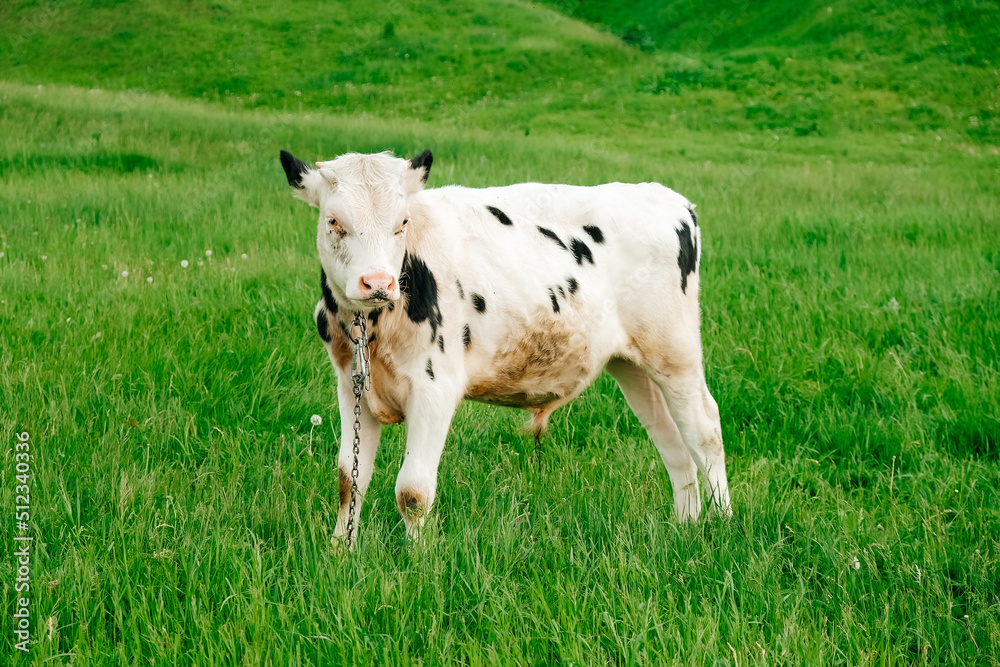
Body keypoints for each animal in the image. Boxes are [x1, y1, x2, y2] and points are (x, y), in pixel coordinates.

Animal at [279, 149, 732, 543]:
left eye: (402, 222)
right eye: (333, 221)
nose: (377, 283)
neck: (373, 327)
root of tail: (667, 197)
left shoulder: (435, 387)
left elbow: (413, 490)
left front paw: (415, 561)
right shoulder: (351, 385)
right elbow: (349, 477)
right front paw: (341, 549)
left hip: (675, 353)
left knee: (704, 430)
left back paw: (723, 522)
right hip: (632, 365)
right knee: (672, 440)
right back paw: (686, 525)